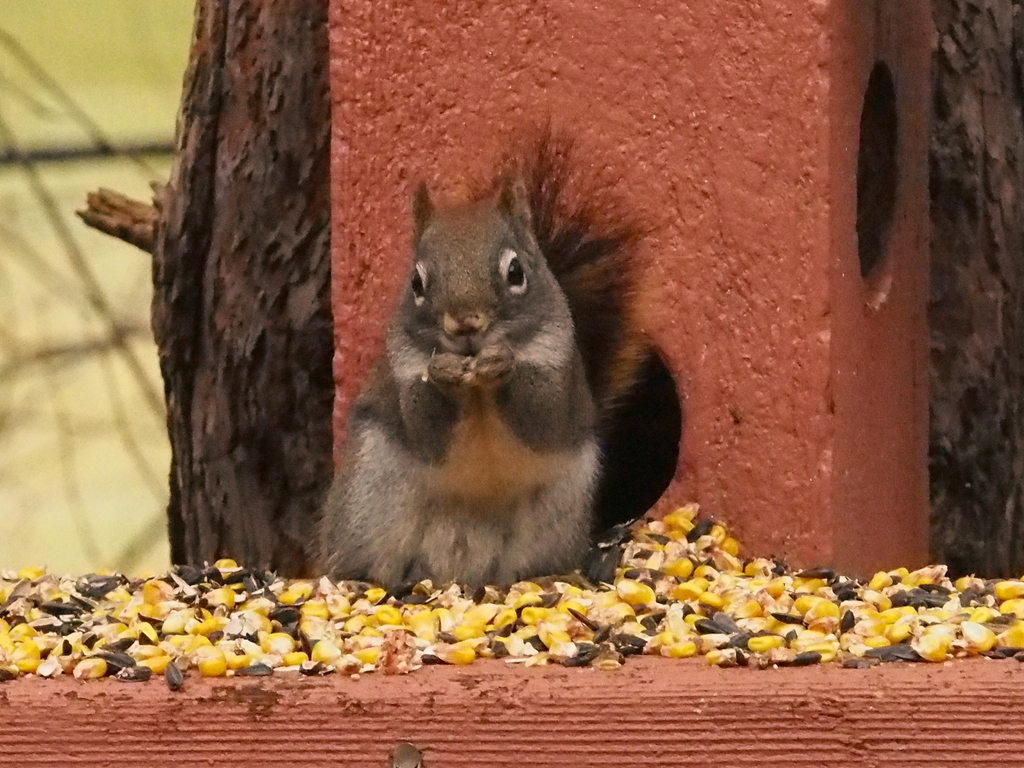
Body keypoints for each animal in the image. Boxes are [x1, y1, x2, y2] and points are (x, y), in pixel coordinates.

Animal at [319, 129, 649, 588]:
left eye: (516, 272)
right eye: (416, 282)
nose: (465, 325)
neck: (476, 391)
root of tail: (462, 572)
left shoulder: (559, 367)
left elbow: (542, 417)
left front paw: (502, 365)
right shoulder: (402, 370)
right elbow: (424, 428)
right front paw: (442, 372)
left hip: (554, 516)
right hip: (368, 503)